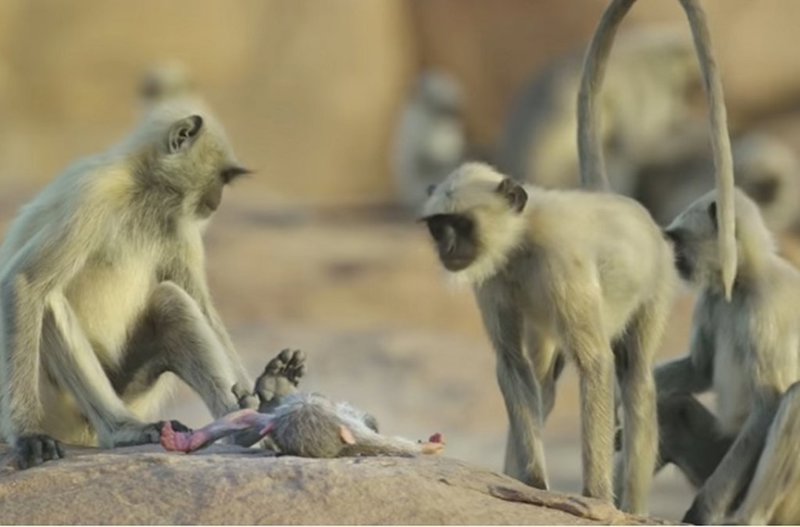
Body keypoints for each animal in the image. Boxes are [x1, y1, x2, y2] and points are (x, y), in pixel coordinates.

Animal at [0, 95, 253, 470]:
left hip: (130, 390)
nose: (217, 201)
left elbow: (202, 306)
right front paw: (28, 436)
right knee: (48, 299)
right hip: (58, 403)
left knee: (172, 300)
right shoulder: (94, 191)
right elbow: (26, 283)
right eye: (222, 177)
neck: (144, 190)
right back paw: (122, 431)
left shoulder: (178, 224)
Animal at [160, 349, 445, 458]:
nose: (312, 399)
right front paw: (430, 445)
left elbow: (244, 418)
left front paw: (182, 440)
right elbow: (392, 444)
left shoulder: (277, 419)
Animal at [657, 189, 800, 524]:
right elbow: (700, 370)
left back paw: (747, 519)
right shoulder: (712, 297)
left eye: (678, 242)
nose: (674, 260)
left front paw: (702, 509)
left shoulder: (766, 306)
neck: (742, 282)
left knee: (794, 399)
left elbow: (768, 404)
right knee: (672, 409)